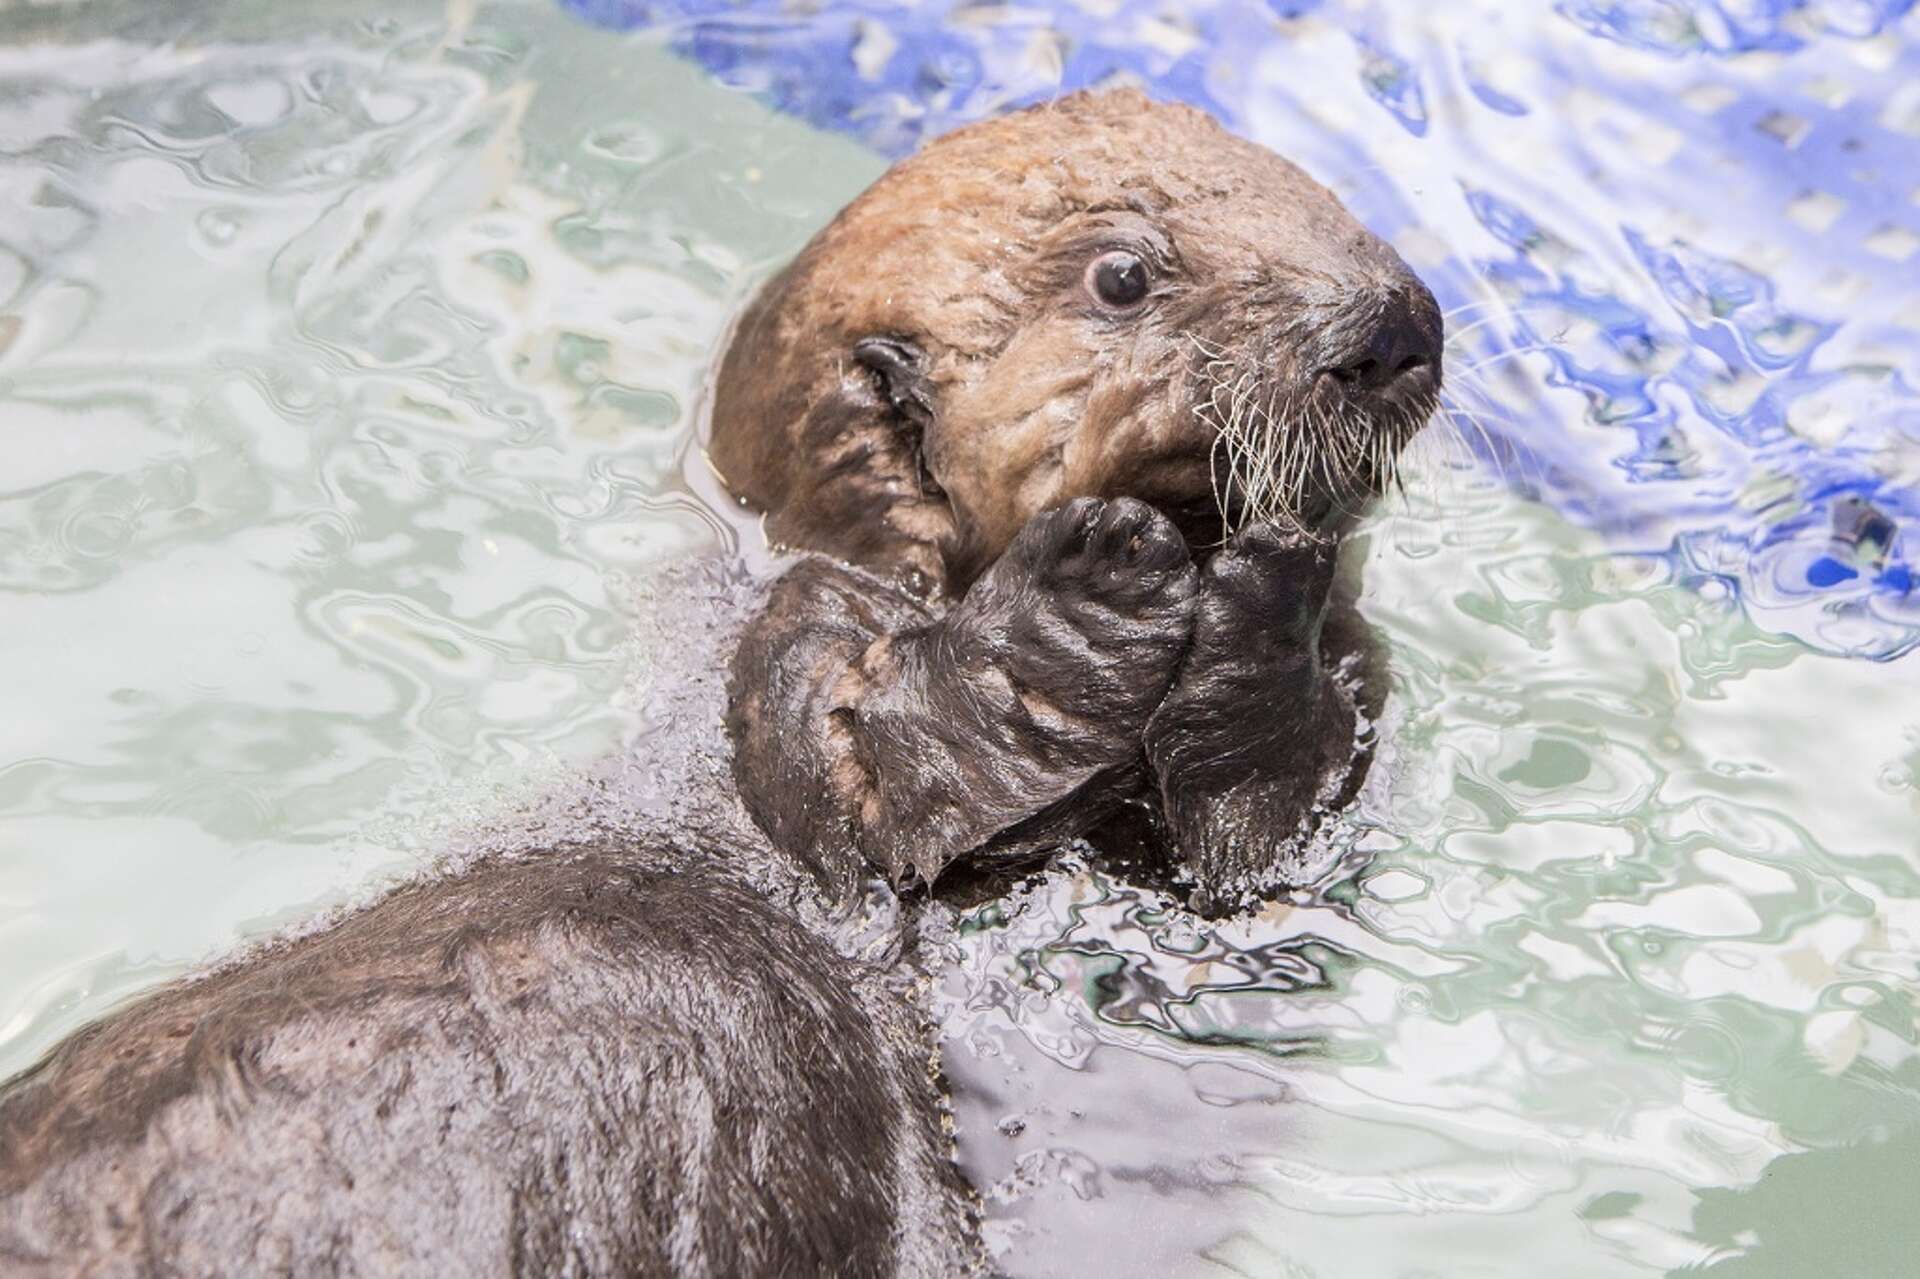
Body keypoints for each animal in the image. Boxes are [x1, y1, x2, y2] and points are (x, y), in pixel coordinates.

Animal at [0, 91, 1440, 1277]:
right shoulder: (786, 634)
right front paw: (1096, 584)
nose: (1397, 324)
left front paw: (1277, 588)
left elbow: (1246, 862)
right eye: (1125, 275)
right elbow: (845, 759)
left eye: (1324, 198)